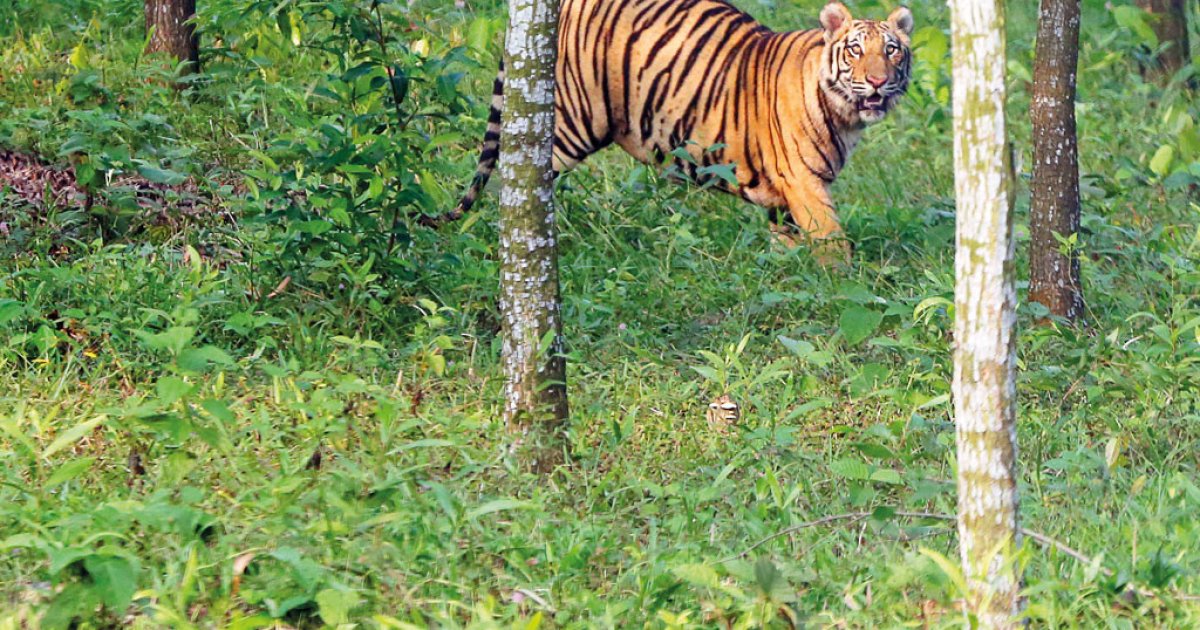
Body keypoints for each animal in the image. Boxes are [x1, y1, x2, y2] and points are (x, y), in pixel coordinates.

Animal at [430, 0, 913, 259]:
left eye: (891, 51)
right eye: (855, 51)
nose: (876, 81)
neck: (846, 114)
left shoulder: (783, 195)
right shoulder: (804, 182)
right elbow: (833, 243)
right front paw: (844, 286)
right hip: (569, 123)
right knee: (513, 182)